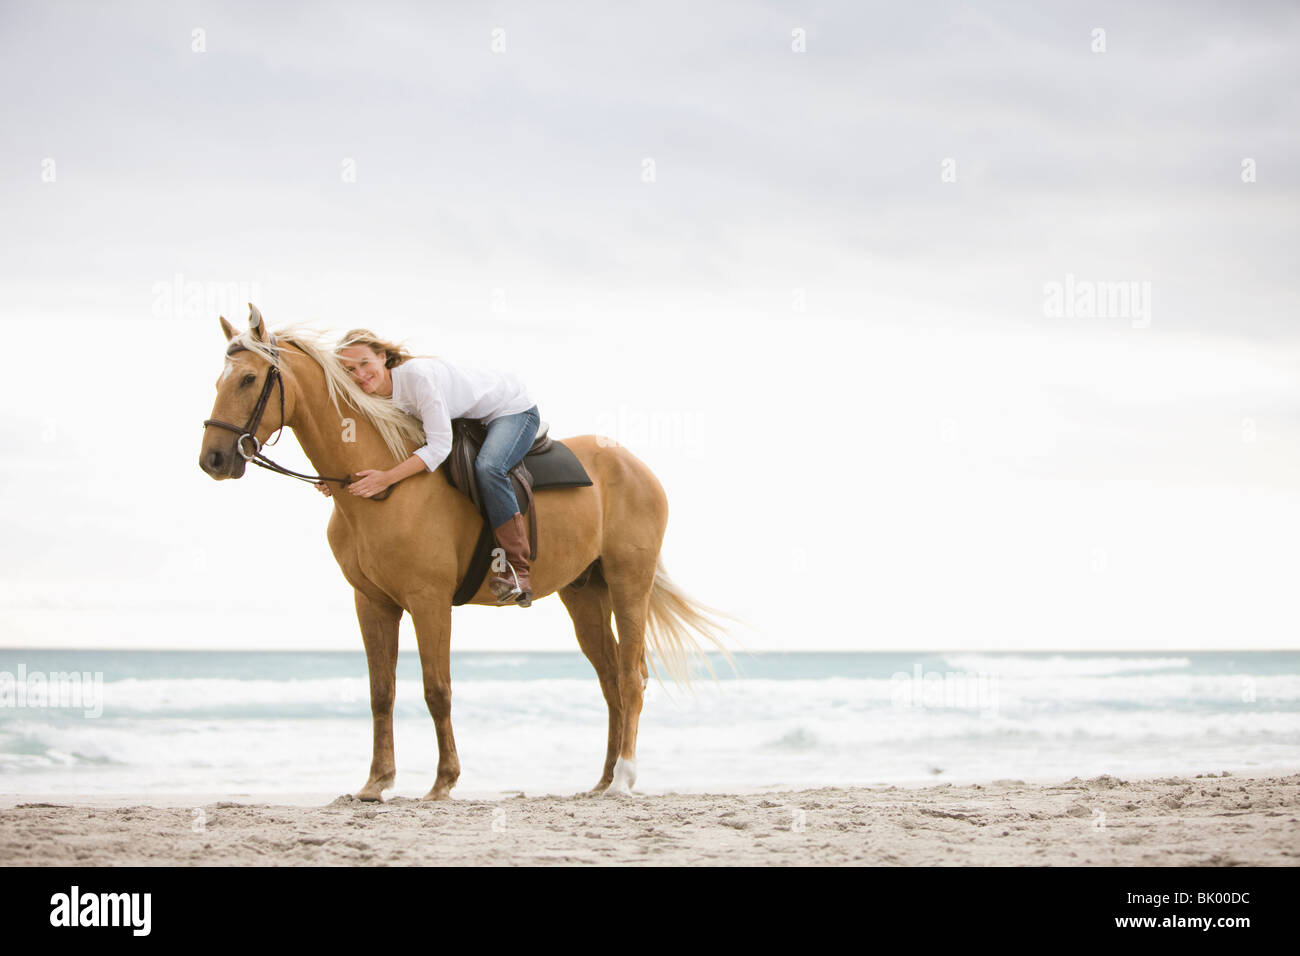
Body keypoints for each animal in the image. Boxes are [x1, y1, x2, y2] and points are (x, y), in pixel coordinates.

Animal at [198, 305, 735, 799]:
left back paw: (623, 779)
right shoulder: (372, 603)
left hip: (629, 584)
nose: (213, 460)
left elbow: (437, 689)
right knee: (609, 682)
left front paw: (443, 782)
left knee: (630, 677)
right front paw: (376, 783)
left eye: (248, 378)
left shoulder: (429, 600)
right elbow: (381, 692)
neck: (383, 481)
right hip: (585, 594)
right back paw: (601, 781)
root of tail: (635, 465)